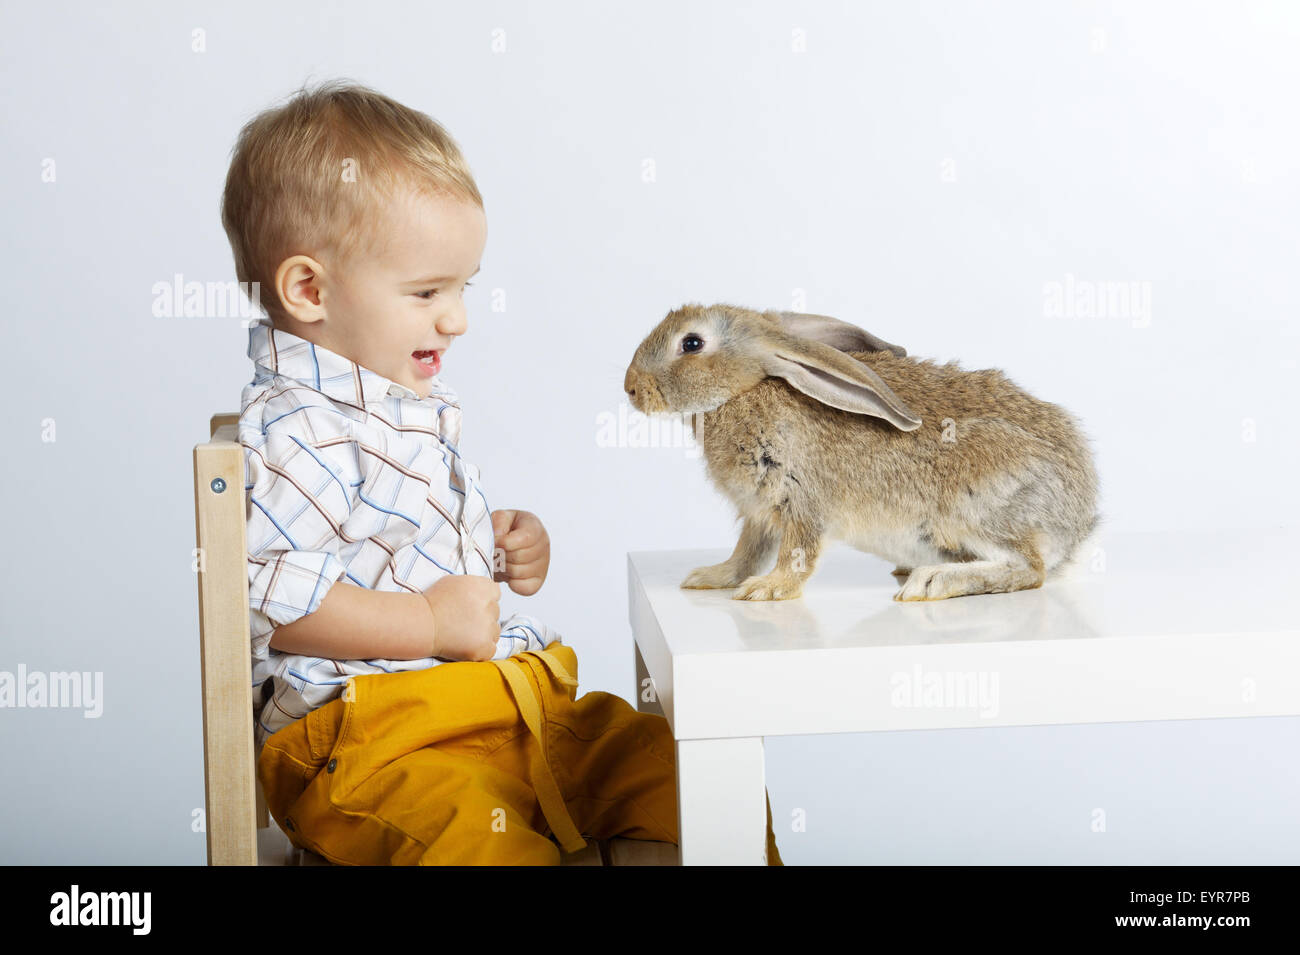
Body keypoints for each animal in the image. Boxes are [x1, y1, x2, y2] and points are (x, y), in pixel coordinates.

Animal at [623, 303, 1101, 601]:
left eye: (691, 343)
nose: (630, 389)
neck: (749, 389)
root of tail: (1077, 521)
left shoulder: (802, 500)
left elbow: (796, 553)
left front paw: (767, 589)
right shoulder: (758, 512)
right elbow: (746, 551)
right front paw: (712, 577)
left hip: (974, 509)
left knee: (1030, 568)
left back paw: (931, 582)